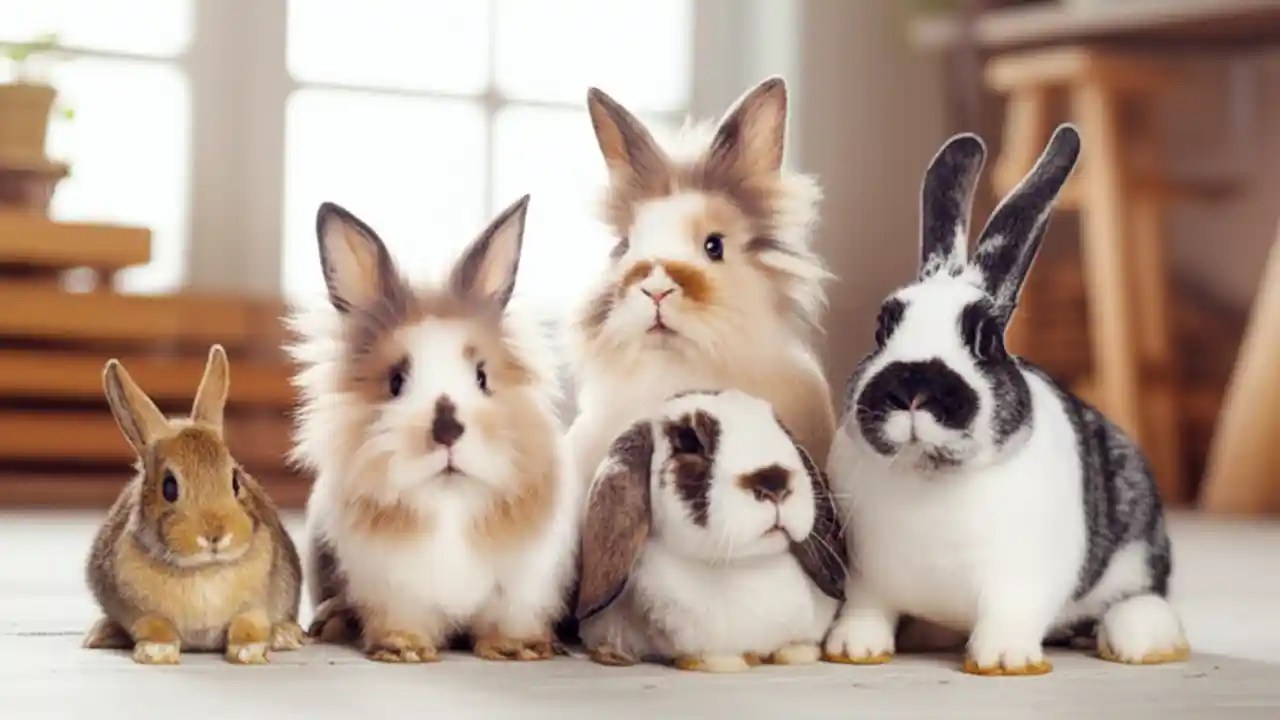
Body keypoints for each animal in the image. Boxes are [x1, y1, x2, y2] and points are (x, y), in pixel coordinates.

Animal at [83, 345, 304, 665]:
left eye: (235, 480)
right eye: (169, 487)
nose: (215, 536)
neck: (203, 569)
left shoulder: (257, 607)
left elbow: (248, 626)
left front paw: (248, 653)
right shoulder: (141, 612)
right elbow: (155, 627)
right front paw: (156, 653)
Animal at [291, 195, 581, 663]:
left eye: (482, 376)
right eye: (395, 381)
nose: (447, 429)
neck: (450, 501)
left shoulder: (523, 586)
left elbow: (510, 618)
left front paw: (515, 648)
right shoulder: (392, 587)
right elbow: (403, 618)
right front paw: (404, 648)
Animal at [576, 388, 846, 673]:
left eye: (783, 432)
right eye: (689, 442)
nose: (774, 482)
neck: (743, 566)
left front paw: (796, 654)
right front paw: (721, 663)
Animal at [823, 125, 1188, 676]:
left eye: (986, 340)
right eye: (883, 326)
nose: (911, 387)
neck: (929, 476)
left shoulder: (1020, 581)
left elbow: (1008, 615)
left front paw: (1003, 660)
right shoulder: (867, 580)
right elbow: (867, 612)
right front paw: (853, 650)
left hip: (1137, 553)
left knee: (1139, 600)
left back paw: (1140, 642)